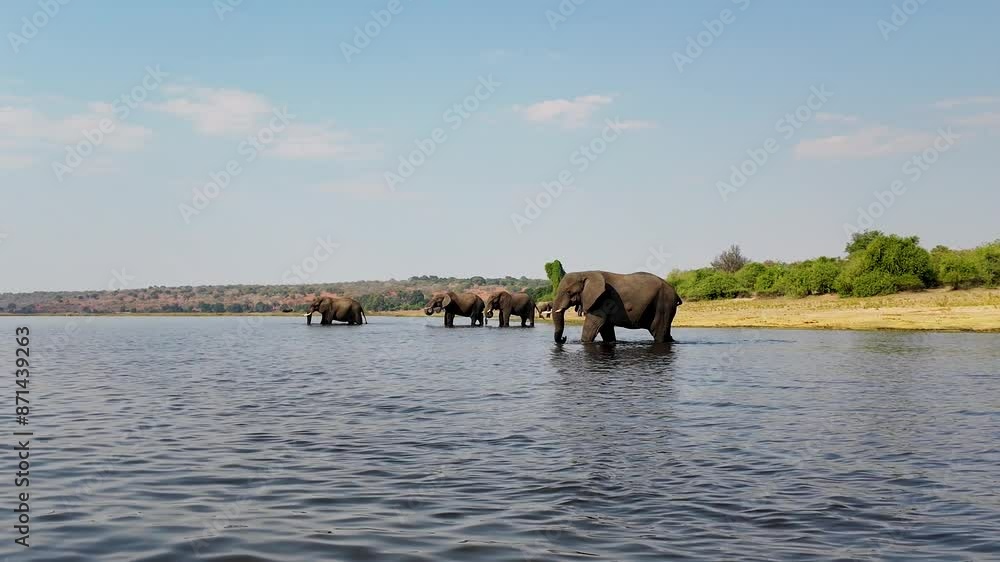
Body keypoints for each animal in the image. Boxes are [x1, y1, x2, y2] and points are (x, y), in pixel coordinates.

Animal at [551, 271, 682, 344]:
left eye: (569, 292)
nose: (564, 338)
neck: (585, 273)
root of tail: (675, 293)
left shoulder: (602, 300)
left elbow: (593, 326)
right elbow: (606, 329)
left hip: (664, 303)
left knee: (658, 333)